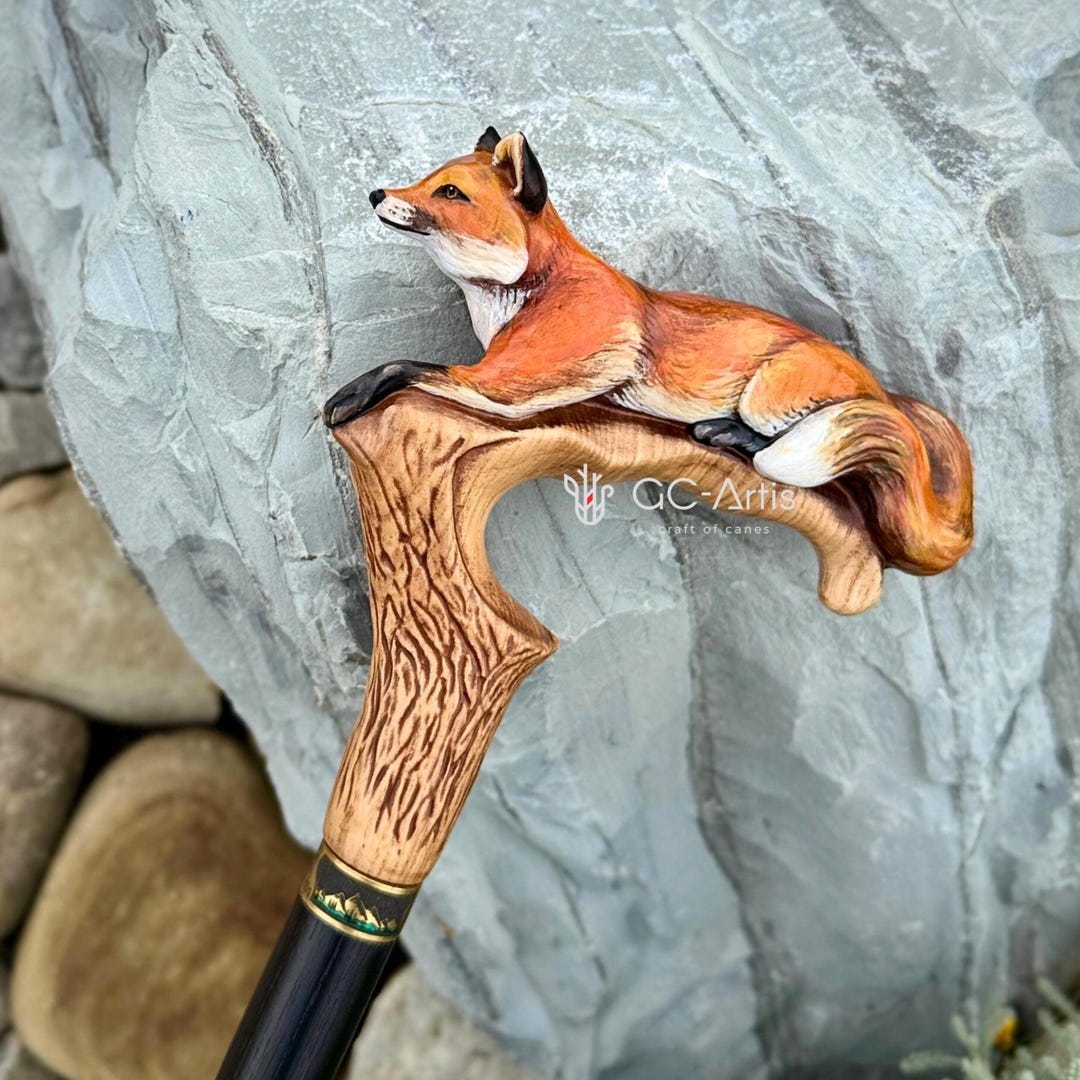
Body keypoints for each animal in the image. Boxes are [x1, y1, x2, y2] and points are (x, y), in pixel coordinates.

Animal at [324, 126, 973, 575]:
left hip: (770, 393)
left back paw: (727, 434)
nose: (376, 191)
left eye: (450, 191)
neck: (525, 285)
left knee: (781, 445)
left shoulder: (523, 376)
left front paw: (352, 393)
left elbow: (417, 366)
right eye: (427, 176)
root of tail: (880, 388)